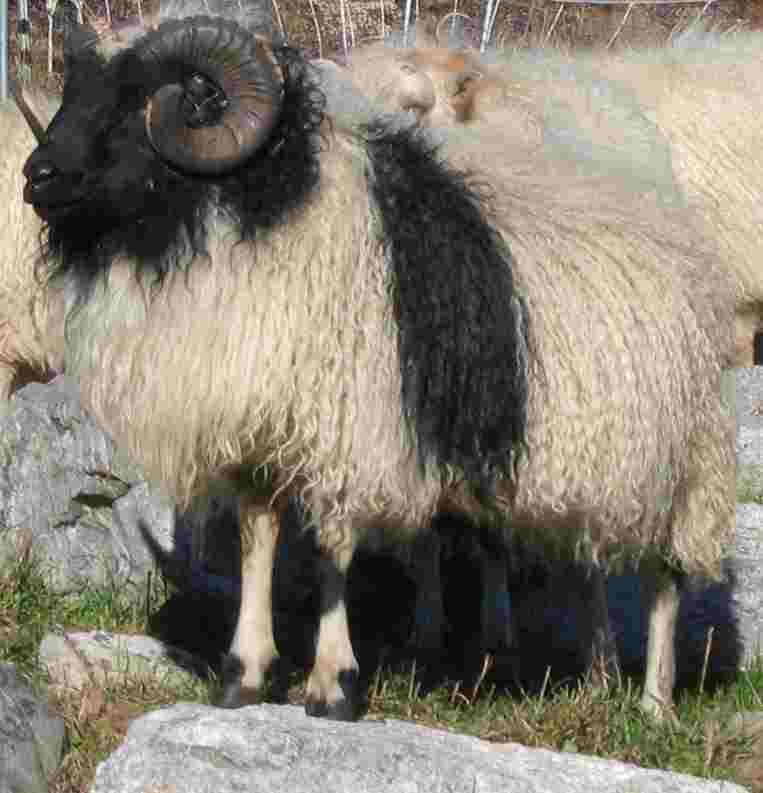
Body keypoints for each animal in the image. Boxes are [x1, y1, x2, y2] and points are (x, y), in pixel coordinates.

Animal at [20, 14, 735, 721]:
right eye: (74, 88)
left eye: (139, 98)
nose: (37, 177)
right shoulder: (257, 431)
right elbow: (257, 540)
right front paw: (245, 676)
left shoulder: (352, 429)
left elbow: (334, 549)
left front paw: (331, 683)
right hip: (593, 457)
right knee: (590, 562)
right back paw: (596, 678)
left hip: (679, 458)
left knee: (666, 577)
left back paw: (654, 702)